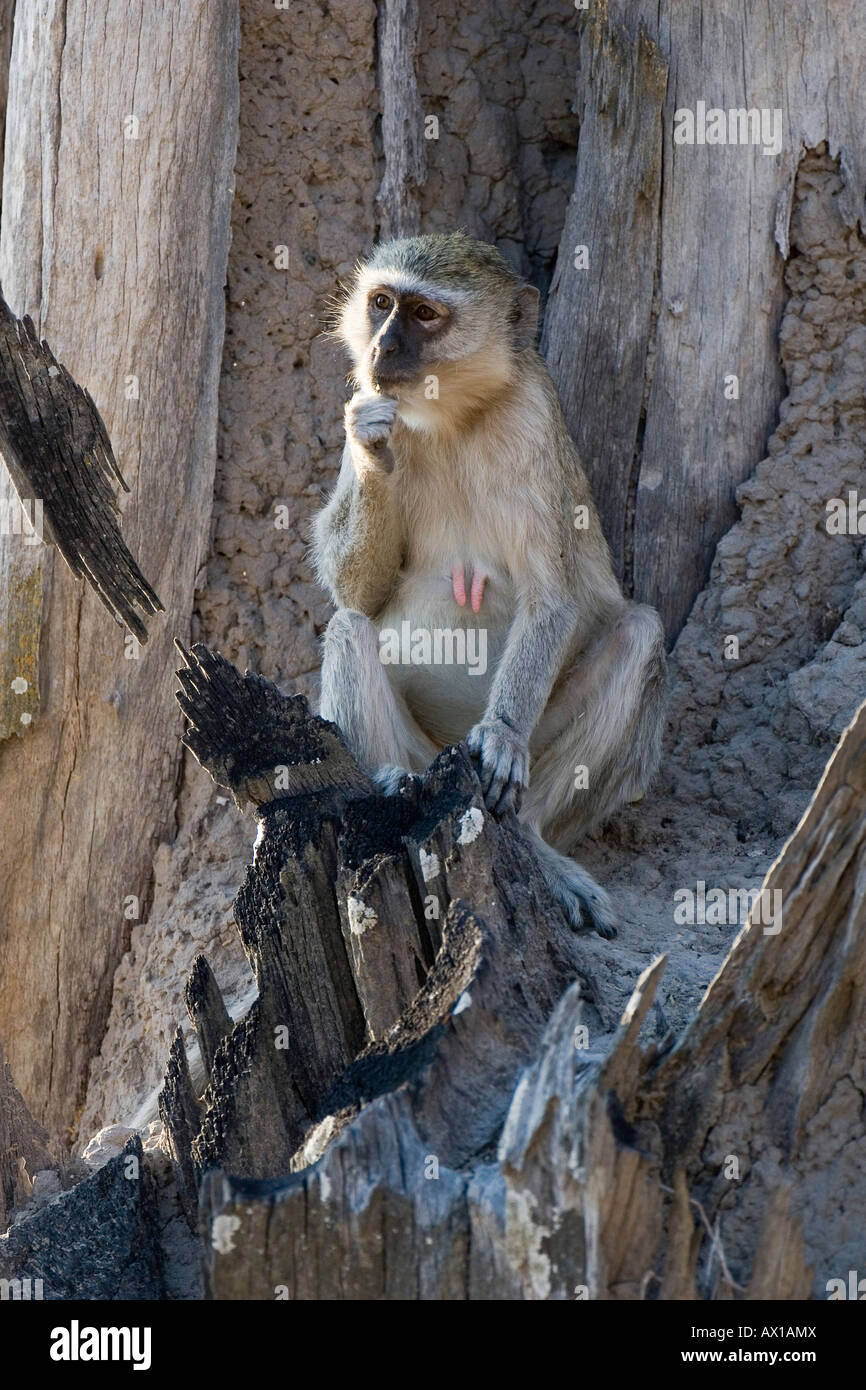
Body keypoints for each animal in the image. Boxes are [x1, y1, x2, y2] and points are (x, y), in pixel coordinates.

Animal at [312, 232, 667, 938]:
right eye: (382, 302)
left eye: (424, 315)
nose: (381, 347)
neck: (452, 417)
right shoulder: (366, 396)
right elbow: (354, 598)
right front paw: (373, 447)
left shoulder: (533, 419)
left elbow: (551, 599)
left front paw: (502, 735)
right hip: (423, 755)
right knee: (347, 632)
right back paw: (389, 783)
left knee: (639, 632)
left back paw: (535, 845)